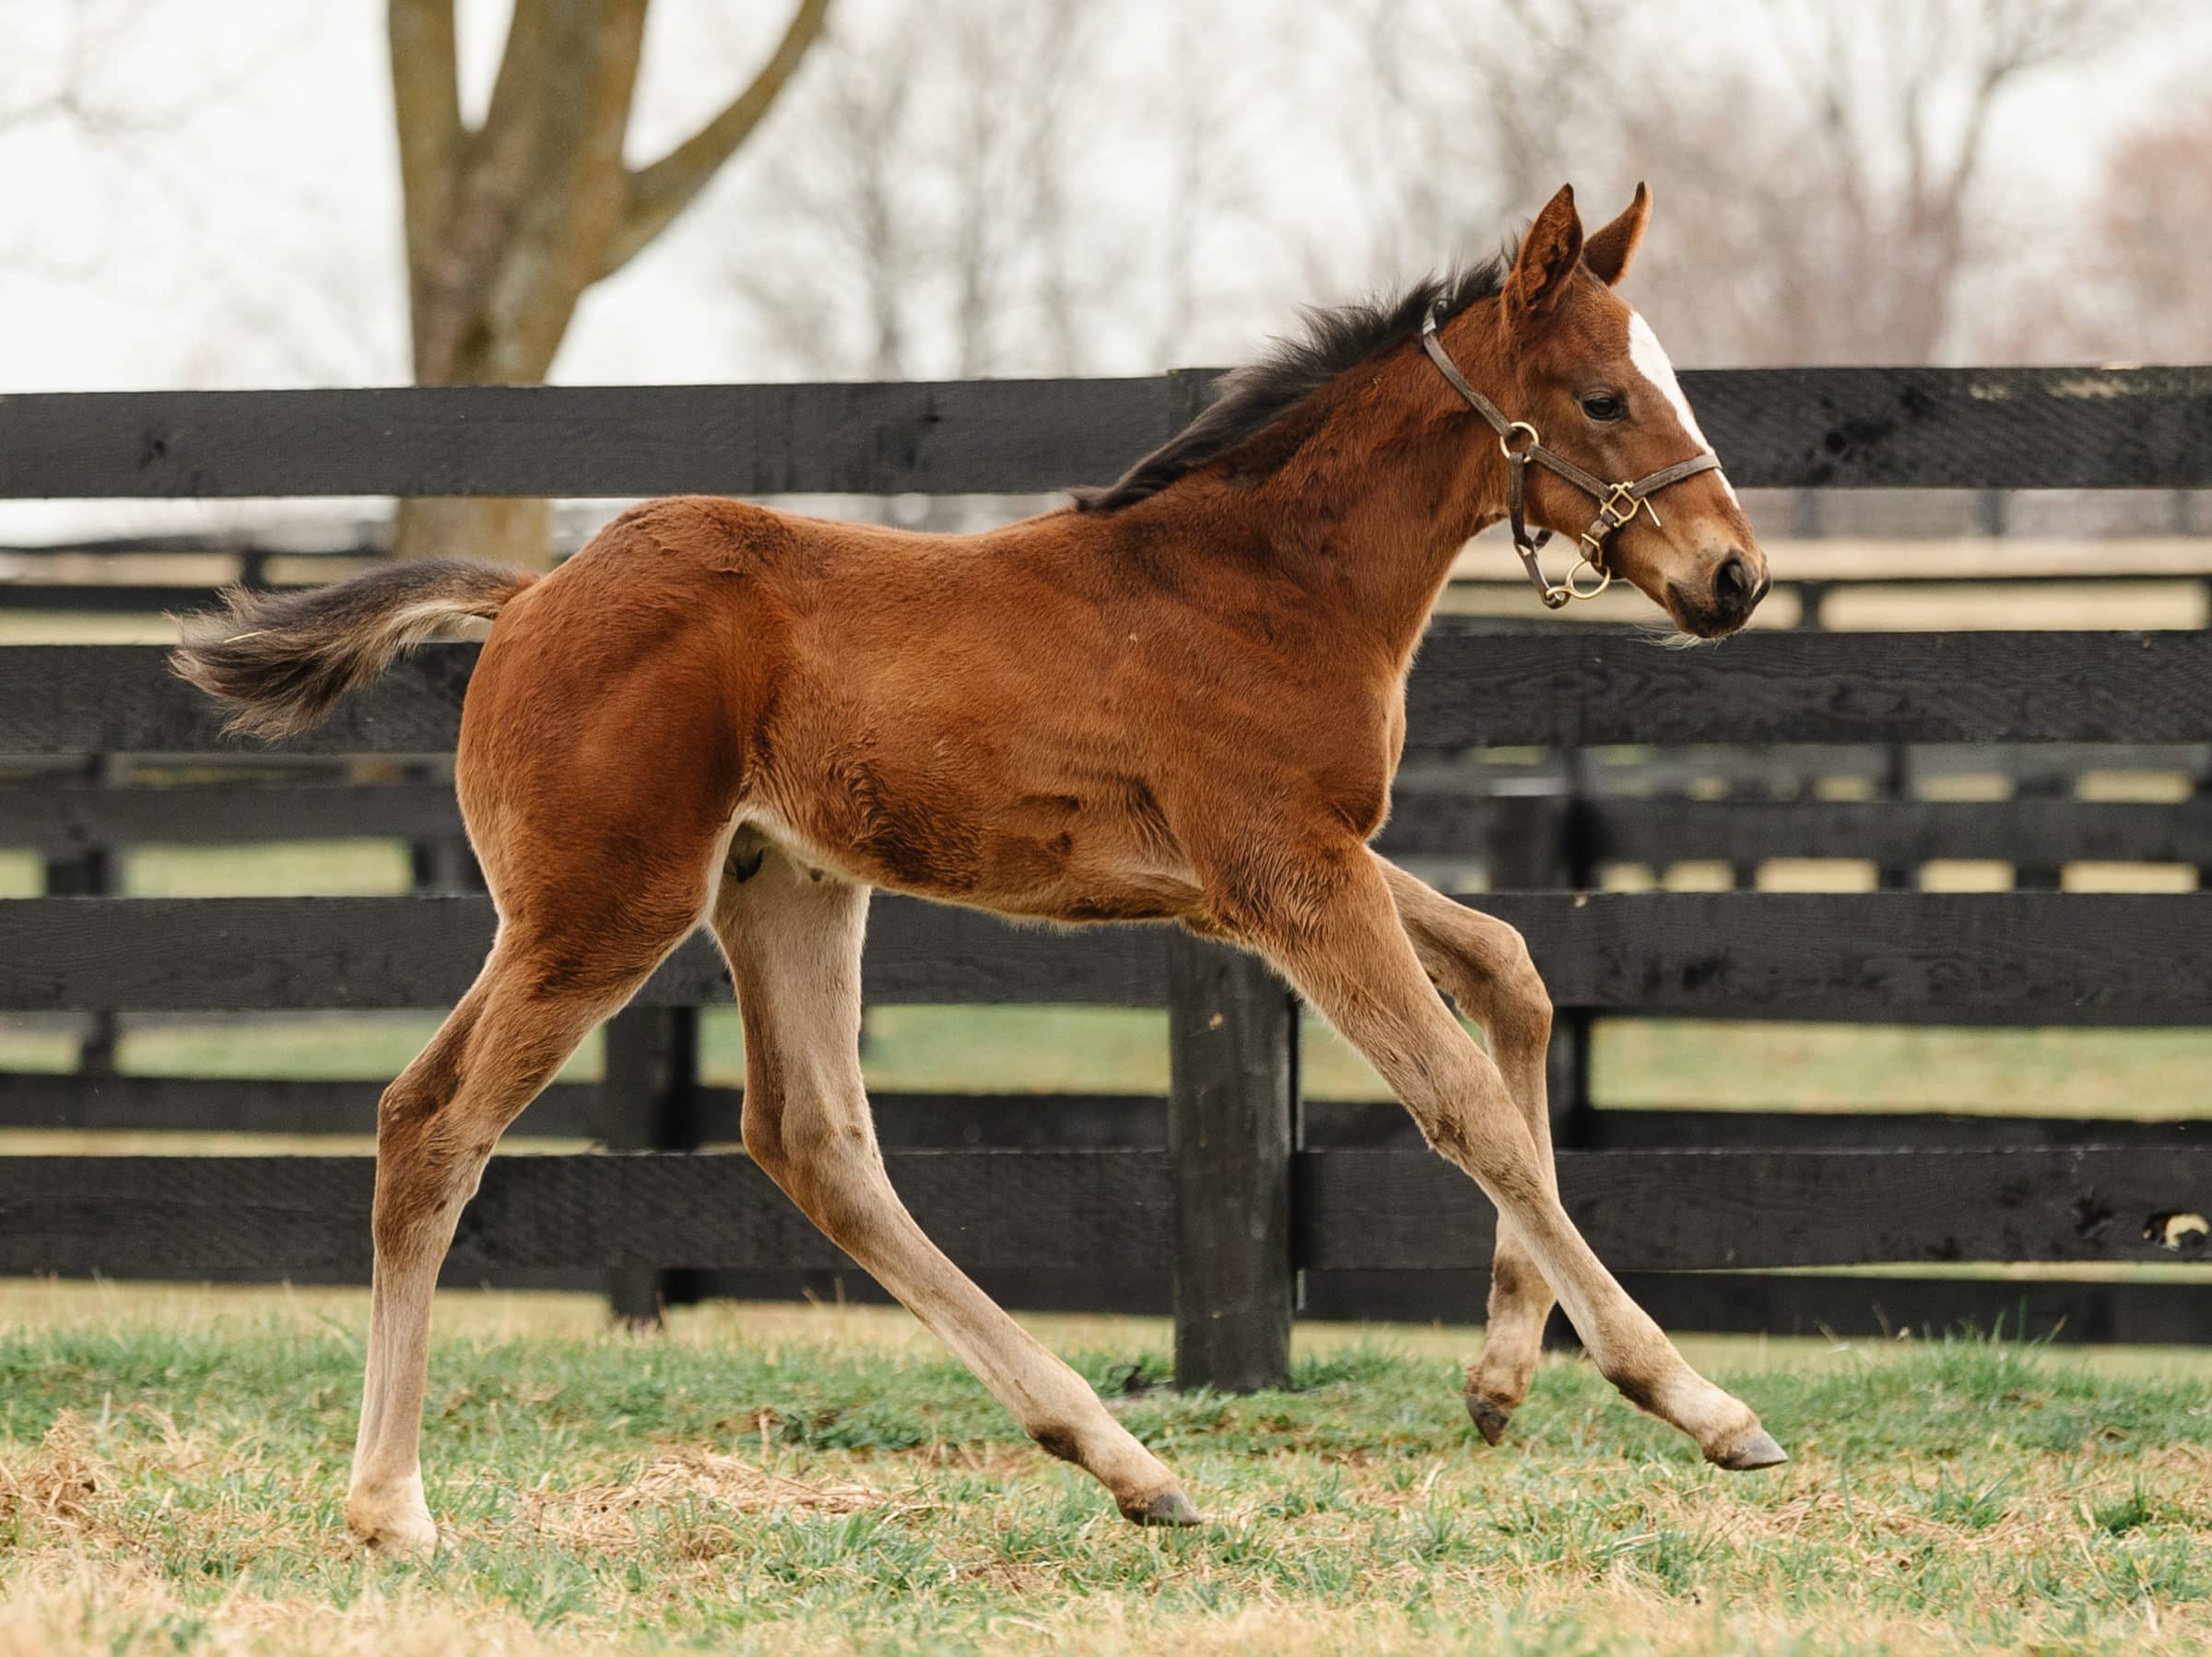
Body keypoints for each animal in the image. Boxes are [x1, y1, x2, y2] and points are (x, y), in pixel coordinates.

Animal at [172, 183, 1777, 1555]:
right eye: (1604, 397)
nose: (1735, 577)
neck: (1264, 581)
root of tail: (527, 597)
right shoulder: (1287, 869)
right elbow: (1460, 1105)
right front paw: (1699, 1402)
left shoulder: (1284, 870)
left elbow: (1513, 970)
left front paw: (1500, 1381)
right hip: (600, 908)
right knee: (434, 1121)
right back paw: (391, 1504)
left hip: (783, 885)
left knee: (810, 1140)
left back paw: (1125, 1462)